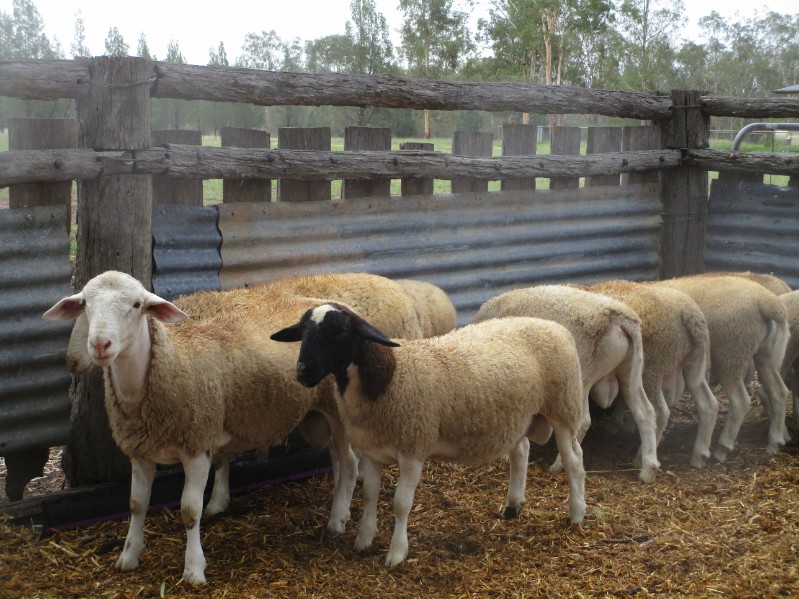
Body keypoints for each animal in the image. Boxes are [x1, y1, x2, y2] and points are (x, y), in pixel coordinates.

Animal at [271, 303, 587, 567]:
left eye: (339, 332)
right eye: (302, 333)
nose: (302, 372)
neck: (387, 378)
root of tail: (555, 326)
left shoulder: (413, 447)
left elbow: (400, 504)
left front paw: (396, 554)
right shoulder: (372, 450)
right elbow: (370, 494)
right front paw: (363, 539)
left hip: (564, 406)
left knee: (574, 462)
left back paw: (577, 513)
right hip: (516, 414)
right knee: (521, 452)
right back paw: (513, 506)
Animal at [472, 285, 659, 482]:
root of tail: (621, 319)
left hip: (581, 376)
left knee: (582, 422)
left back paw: (559, 464)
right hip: (631, 370)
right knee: (645, 412)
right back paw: (648, 470)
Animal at [576, 280, 719, 469]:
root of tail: (688, 311)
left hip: (653, 368)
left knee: (660, 413)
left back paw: (642, 457)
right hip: (694, 364)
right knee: (708, 404)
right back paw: (699, 456)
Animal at [653, 275, 791, 461]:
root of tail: (767, 300)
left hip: (730, 353)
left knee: (740, 401)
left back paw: (721, 448)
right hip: (763, 355)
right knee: (779, 391)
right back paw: (775, 441)